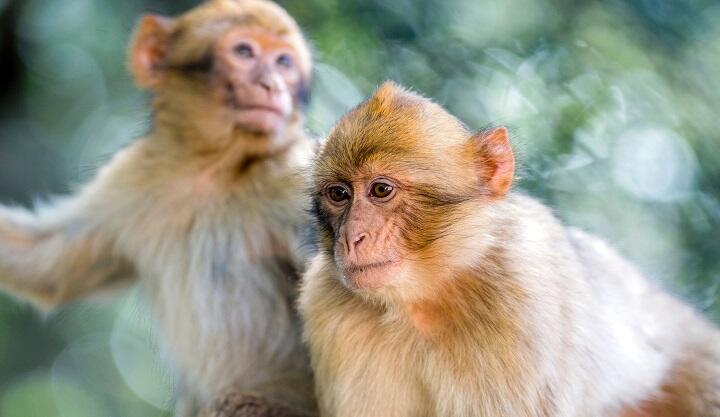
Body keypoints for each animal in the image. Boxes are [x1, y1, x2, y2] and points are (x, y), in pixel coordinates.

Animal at [0, 1, 317, 416]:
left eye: (283, 62)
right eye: (244, 52)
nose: (273, 85)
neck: (212, 169)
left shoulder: (295, 175)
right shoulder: (134, 176)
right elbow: (47, 267)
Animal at [299, 81, 720, 417]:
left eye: (381, 190)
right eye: (339, 194)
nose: (352, 236)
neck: (422, 302)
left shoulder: (519, 300)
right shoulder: (330, 308)